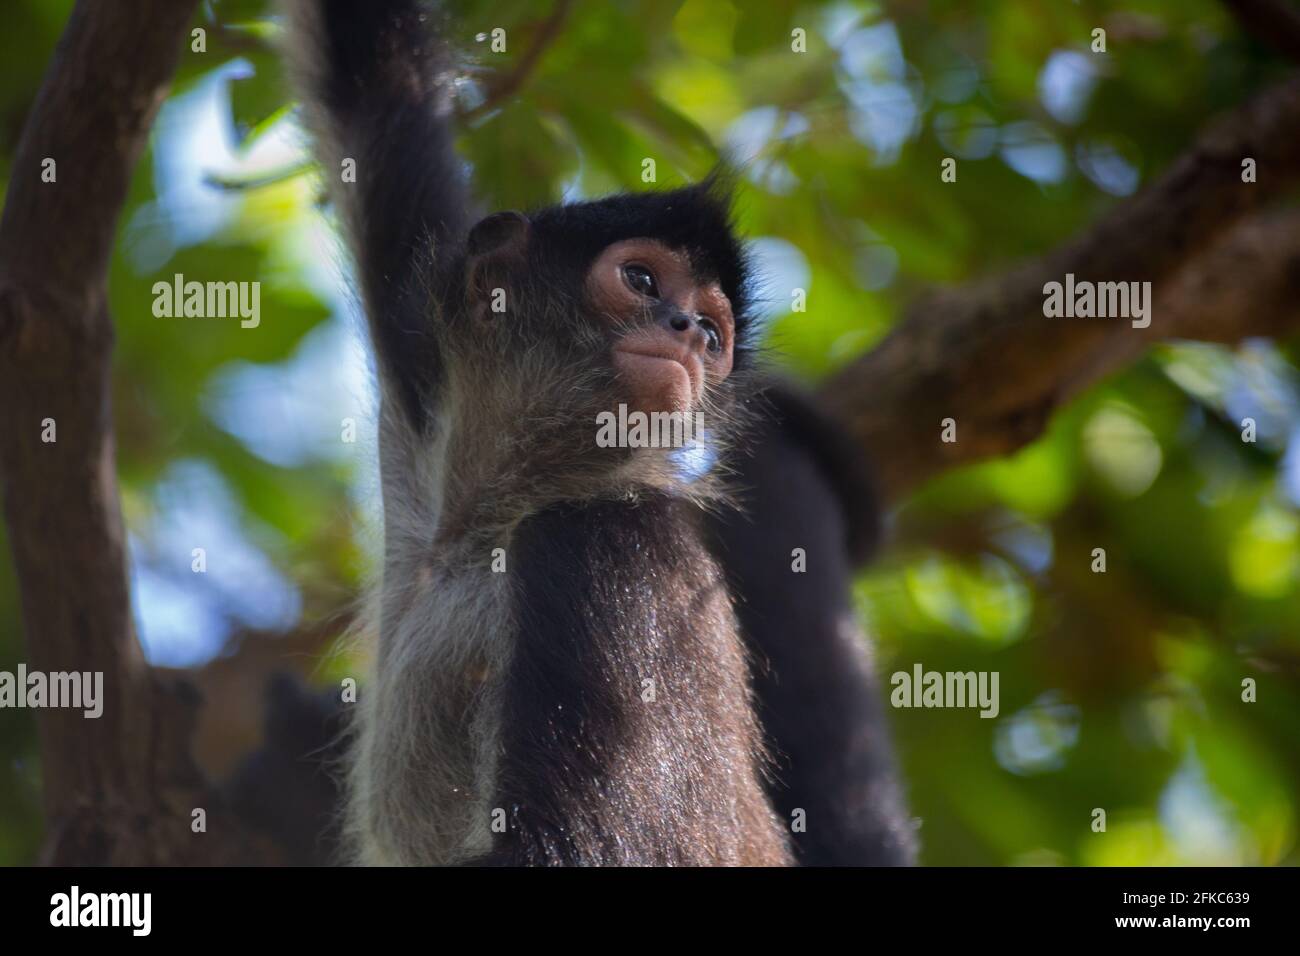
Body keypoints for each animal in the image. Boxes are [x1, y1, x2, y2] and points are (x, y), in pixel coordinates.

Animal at [284, 0, 792, 865]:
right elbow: (370, 80)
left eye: (715, 335)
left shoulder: (612, 538)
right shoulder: (425, 386)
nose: (688, 331)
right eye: (642, 280)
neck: (482, 526)